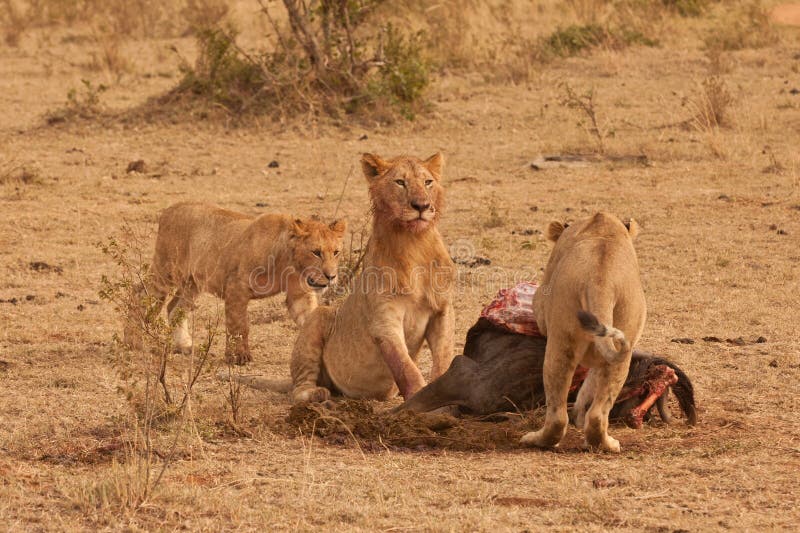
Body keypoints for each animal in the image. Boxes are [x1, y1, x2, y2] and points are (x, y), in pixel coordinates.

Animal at [123, 202, 346, 364]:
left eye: (336, 252)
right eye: (316, 252)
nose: (331, 276)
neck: (289, 263)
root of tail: (168, 210)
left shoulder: (299, 294)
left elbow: (311, 318)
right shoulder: (236, 287)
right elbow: (239, 325)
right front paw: (239, 357)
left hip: (193, 282)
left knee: (174, 308)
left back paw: (184, 345)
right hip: (166, 271)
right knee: (138, 294)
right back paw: (133, 342)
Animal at [224, 153, 456, 402]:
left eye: (428, 182)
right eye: (400, 182)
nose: (422, 206)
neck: (415, 242)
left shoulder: (442, 312)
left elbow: (443, 358)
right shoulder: (384, 319)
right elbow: (405, 366)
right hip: (319, 317)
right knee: (299, 388)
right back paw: (317, 395)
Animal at [520, 211, 646, 453]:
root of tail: (601, 282)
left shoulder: (541, 299)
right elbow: (591, 383)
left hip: (563, 336)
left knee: (557, 415)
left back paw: (535, 439)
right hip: (624, 336)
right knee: (598, 413)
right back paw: (605, 444)